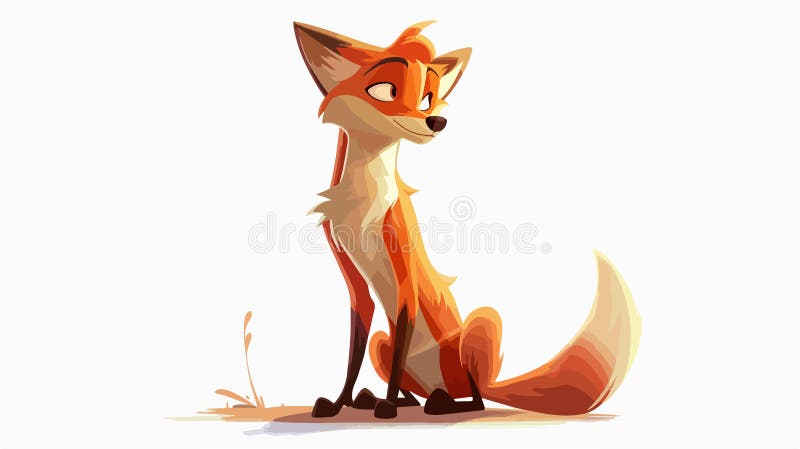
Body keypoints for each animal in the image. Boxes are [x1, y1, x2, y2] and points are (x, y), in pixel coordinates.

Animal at [293, 21, 641, 419]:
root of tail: (442, 383)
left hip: (480, 325)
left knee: (477, 399)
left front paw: (387, 406)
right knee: (412, 384)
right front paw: (342, 403)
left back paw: (440, 404)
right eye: (385, 90)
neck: (363, 207)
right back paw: (386, 398)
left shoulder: (406, 278)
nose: (437, 121)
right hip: (386, 343)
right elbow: (354, 353)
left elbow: (396, 341)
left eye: (428, 98)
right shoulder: (354, 282)